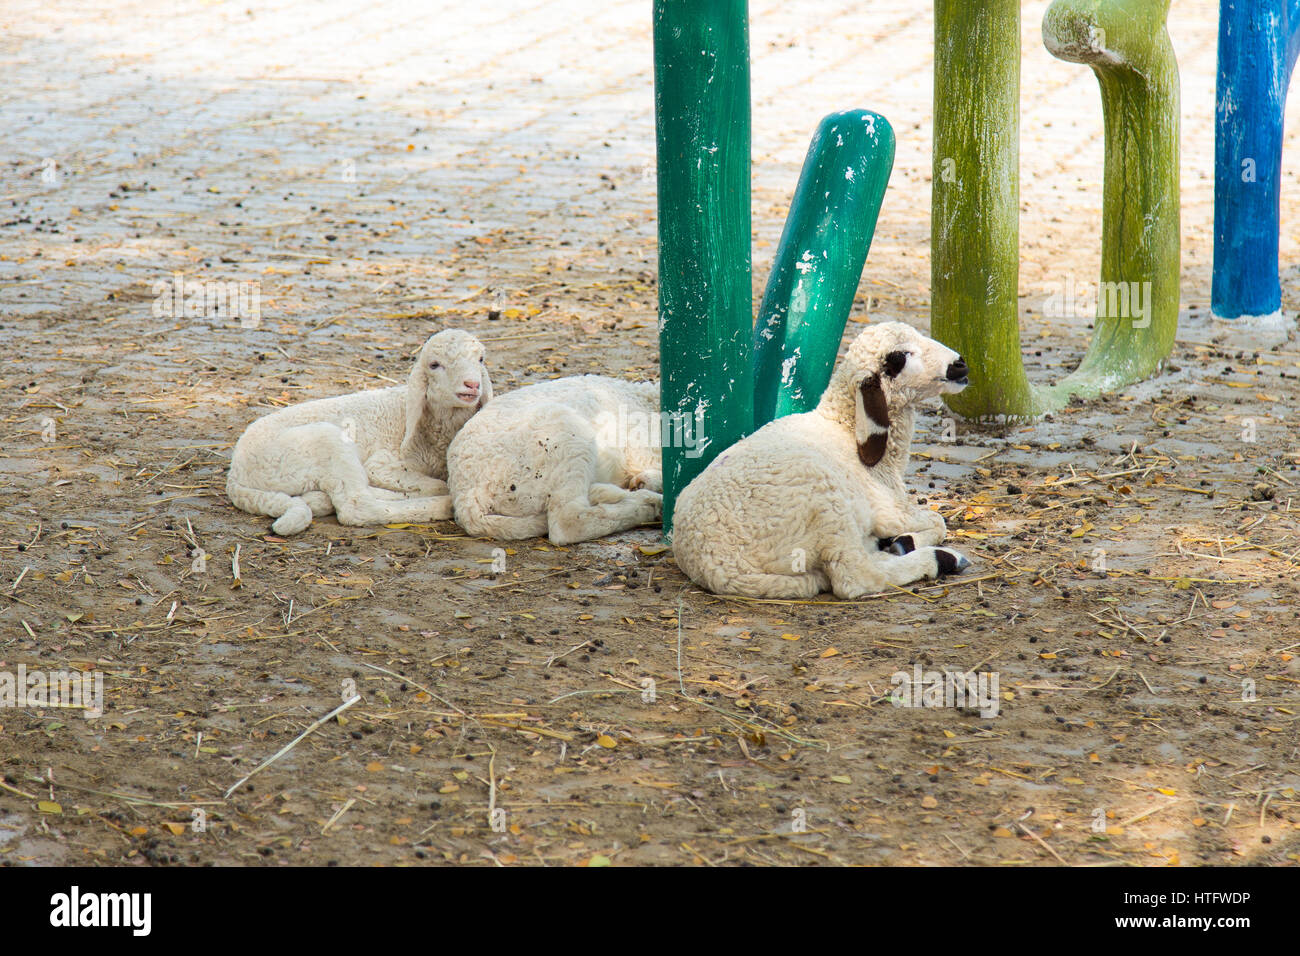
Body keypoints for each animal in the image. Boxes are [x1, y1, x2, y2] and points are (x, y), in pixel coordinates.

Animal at [227, 329, 491, 535]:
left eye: (480, 359)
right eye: (434, 365)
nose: (472, 385)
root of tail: (235, 473)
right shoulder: (383, 463)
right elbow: (436, 484)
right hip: (326, 443)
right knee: (357, 506)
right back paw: (442, 505)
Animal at [671, 321, 972, 599]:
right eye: (901, 356)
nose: (959, 364)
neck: (844, 427)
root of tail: (718, 566)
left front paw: (900, 542)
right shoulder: (890, 510)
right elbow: (938, 521)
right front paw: (905, 541)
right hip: (827, 509)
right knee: (856, 577)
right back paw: (941, 559)